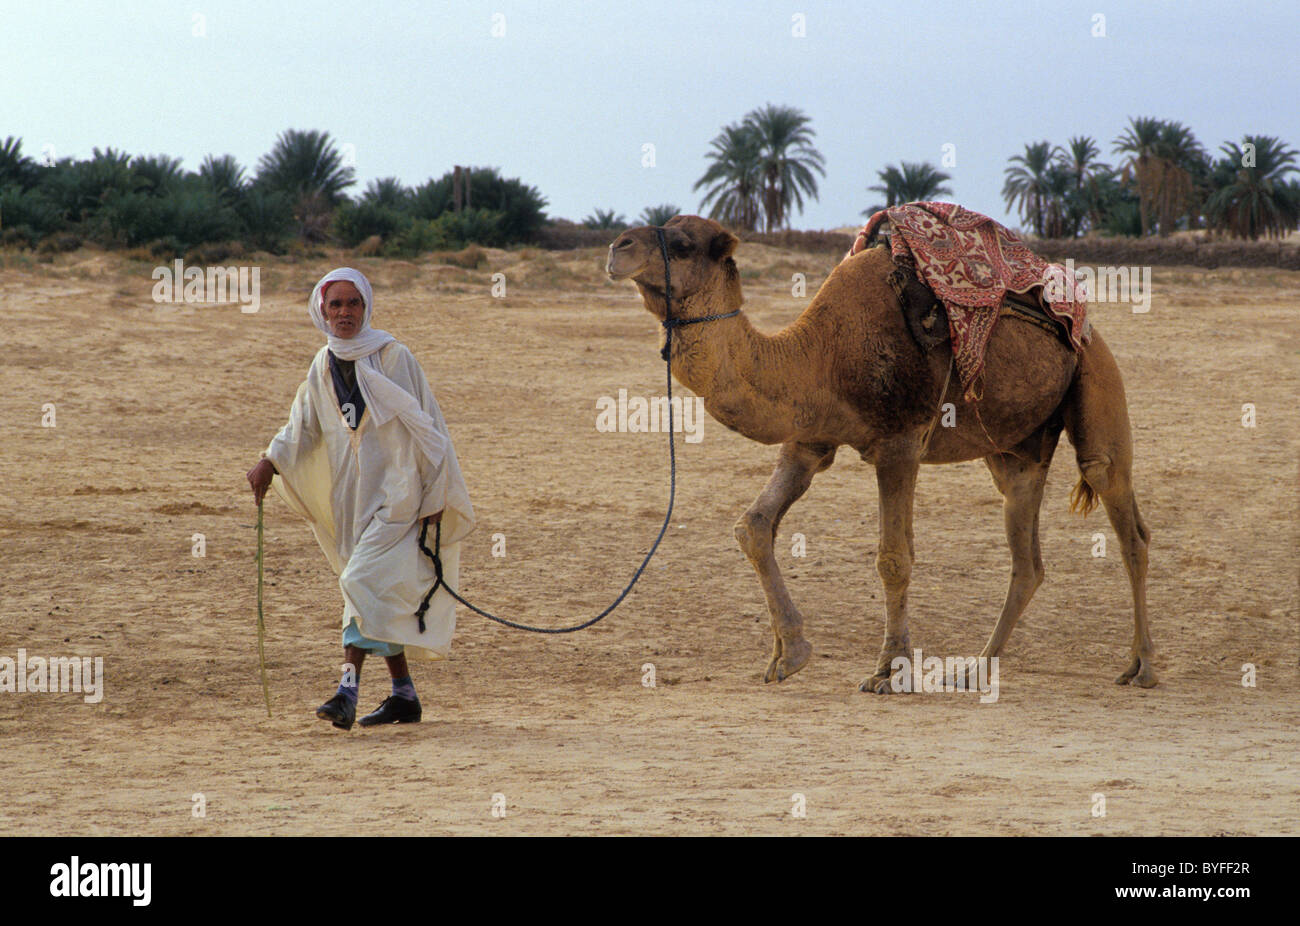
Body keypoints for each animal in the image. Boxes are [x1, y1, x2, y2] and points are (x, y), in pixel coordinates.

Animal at [606, 215, 1155, 692]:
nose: (617, 247)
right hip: (1016, 449)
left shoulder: (899, 444)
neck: (822, 354)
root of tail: (1083, 323)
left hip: (1096, 375)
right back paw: (975, 669)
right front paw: (790, 653)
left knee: (1121, 510)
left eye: (682, 245)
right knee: (1027, 555)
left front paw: (888, 671)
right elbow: (753, 526)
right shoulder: (808, 439)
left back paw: (1142, 666)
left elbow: (894, 557)